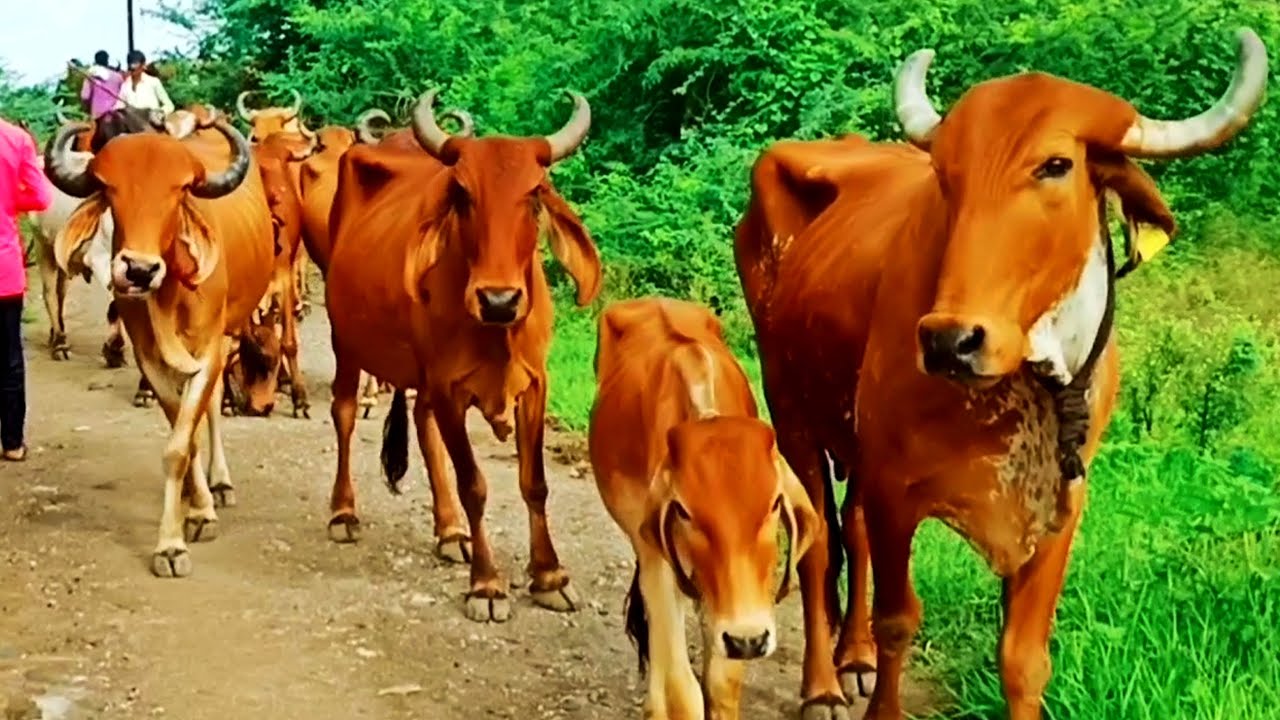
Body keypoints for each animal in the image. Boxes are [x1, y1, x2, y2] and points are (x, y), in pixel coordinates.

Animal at [44, 112, 275, 578]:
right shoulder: (149, 359)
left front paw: (182, 533)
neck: (169, 292)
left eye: (180, 189)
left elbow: (182, 442)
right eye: (108, 187)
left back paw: (220, 482)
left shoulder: (208, 351)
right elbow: (181, 441)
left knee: (214, 406)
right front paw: (188, 517)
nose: (138, 269)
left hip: (228, 334)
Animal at [324, 88, 601, 623]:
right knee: (344, 412)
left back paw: (450, 531)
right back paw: (343, 512)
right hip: (345, 340)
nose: (499, 300)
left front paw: (550, 576)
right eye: (463, 195)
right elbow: (474, 484)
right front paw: (487, 585)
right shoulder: (449, 387)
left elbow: (534, 483)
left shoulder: (535, 385)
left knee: (421, 423)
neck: (496, 332)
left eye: (534, 194)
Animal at [589, 297, 819, 720]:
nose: (749, 639)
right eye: (683, 510)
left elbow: (722, 684)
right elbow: (681, 691)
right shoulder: (658, 560)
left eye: (774, 505)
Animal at [733, 28, 1268, 720]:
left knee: (850, 530)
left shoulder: (1062, 501)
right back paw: (823, 684)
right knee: (819, 544)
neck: (1029, 380)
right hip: (790, 407)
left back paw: (854, 659)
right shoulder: (895, 485)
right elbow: (898, 619)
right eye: (945, 175)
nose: (950, 340)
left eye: (1056, 165)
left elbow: (1023, 658)